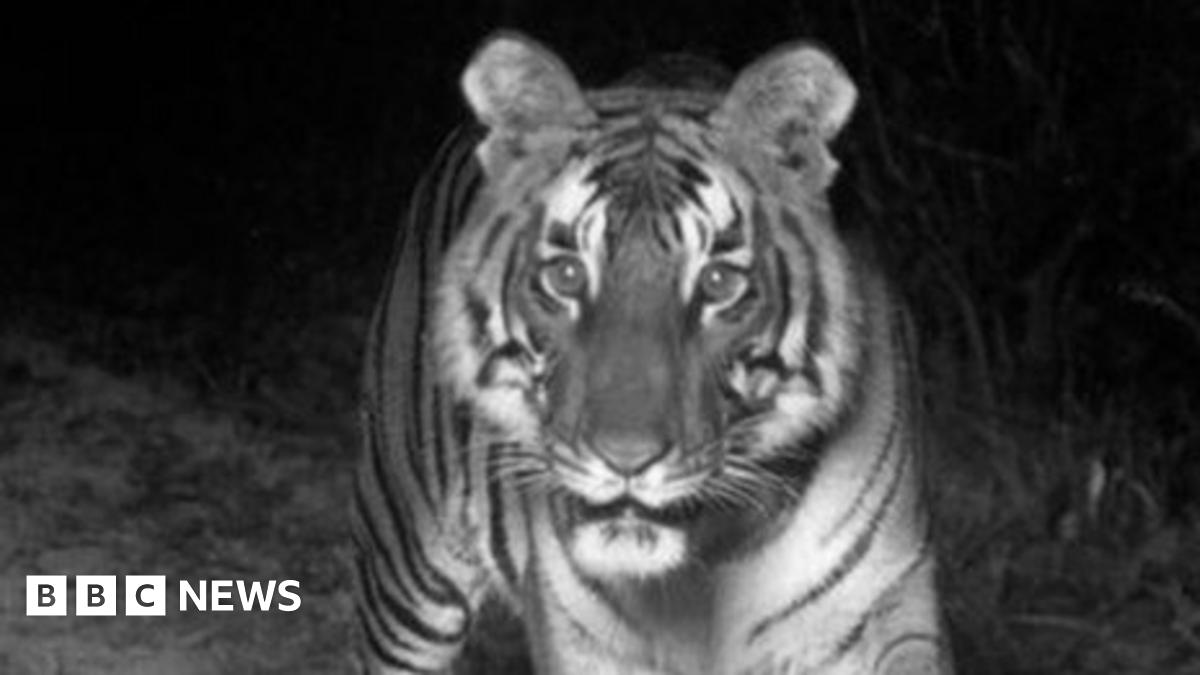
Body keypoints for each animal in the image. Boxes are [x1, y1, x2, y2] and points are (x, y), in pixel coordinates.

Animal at [353, 30, 952, 675]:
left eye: (718, 282)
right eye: (567, 276)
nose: (626, 460)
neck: (713, 550)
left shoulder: (886, 601)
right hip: (404, 575)